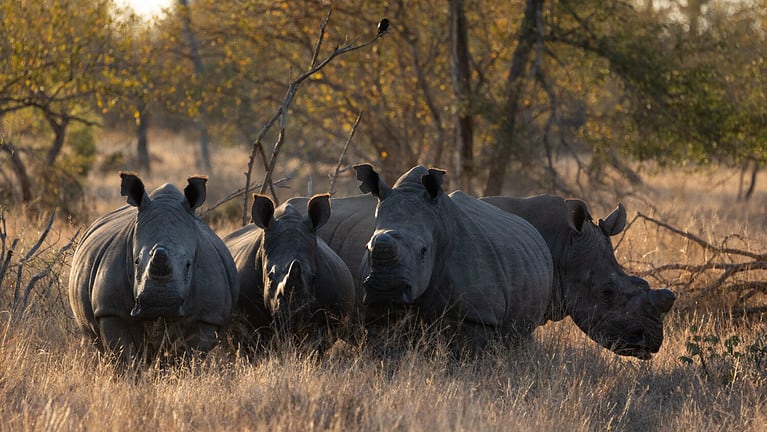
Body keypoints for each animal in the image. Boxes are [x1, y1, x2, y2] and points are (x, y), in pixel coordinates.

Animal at [68, 173, 239, 364]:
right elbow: (123, 356)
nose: (159, 304)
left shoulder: (207, 317)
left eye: (189, 265)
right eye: (136, 261)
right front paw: (129, 371)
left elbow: (191, 356)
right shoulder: (110, 311)